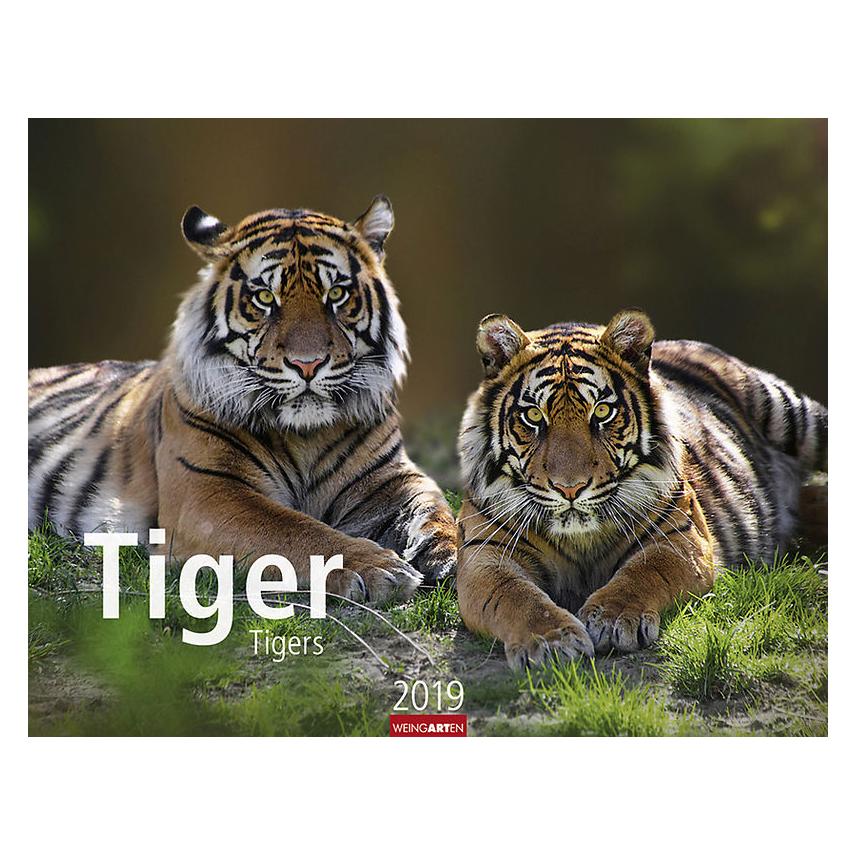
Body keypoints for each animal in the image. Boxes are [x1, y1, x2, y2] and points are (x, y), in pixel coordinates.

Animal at [28, 196, 457, 602]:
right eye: (265, 298)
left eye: (336, 293)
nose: (307, 364)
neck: (305, 434)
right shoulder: (206, 494)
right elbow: (294, 530)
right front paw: (380, 569)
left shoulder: (390, 478)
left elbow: (437, 513)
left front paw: (452, 559)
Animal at [456, 309, 827, 669]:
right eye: (533, 416)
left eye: (602, 411)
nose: (570, 489)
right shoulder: (484, 555)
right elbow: (515, 596)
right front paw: (550, 641)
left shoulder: (680, 537)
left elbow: (644, 573)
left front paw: (612, 618)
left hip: (790, 412)